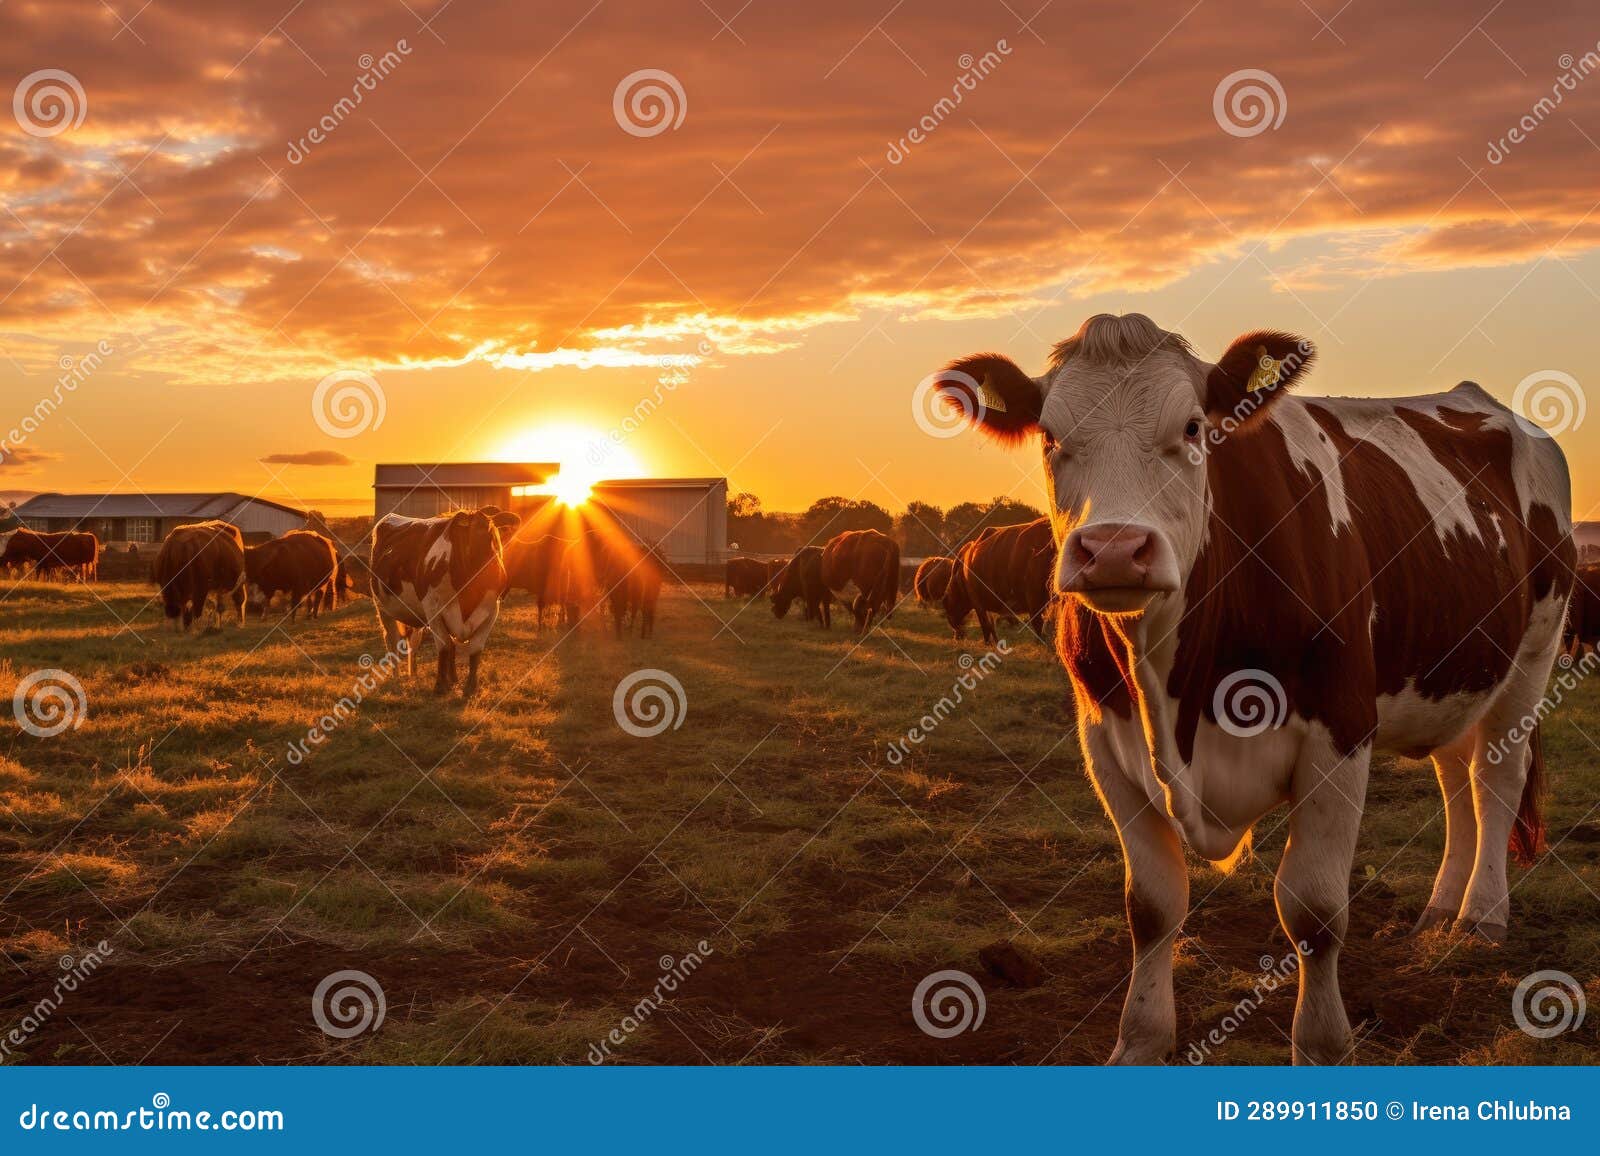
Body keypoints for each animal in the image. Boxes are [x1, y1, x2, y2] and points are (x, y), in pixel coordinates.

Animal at [369, 509, 506, 698]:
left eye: (497, 539)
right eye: (478, 538)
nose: (500, 577)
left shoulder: (491, 610)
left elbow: (475, 648)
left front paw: (470, 687)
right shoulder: (434, 609)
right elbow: (443, 646)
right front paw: (440, 686)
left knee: (414, 641)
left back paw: (420, 675)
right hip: (383, 609)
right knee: (392, 640)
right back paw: (397, 678)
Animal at [933, 312, 1573, 1066]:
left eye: (1192, 429)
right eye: (1051, 437)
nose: (1115, 549)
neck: (1175, 689)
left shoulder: (1341, 728)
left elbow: (1315, 912)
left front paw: (1322, 1046)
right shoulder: (1103, 741)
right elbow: (1151, 906)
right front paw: (1140, 1040)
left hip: (1531, 655)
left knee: (1494, 779)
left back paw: (1481, 916)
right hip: (1453, 670)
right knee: (1455, 777)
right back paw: (1443, 907)